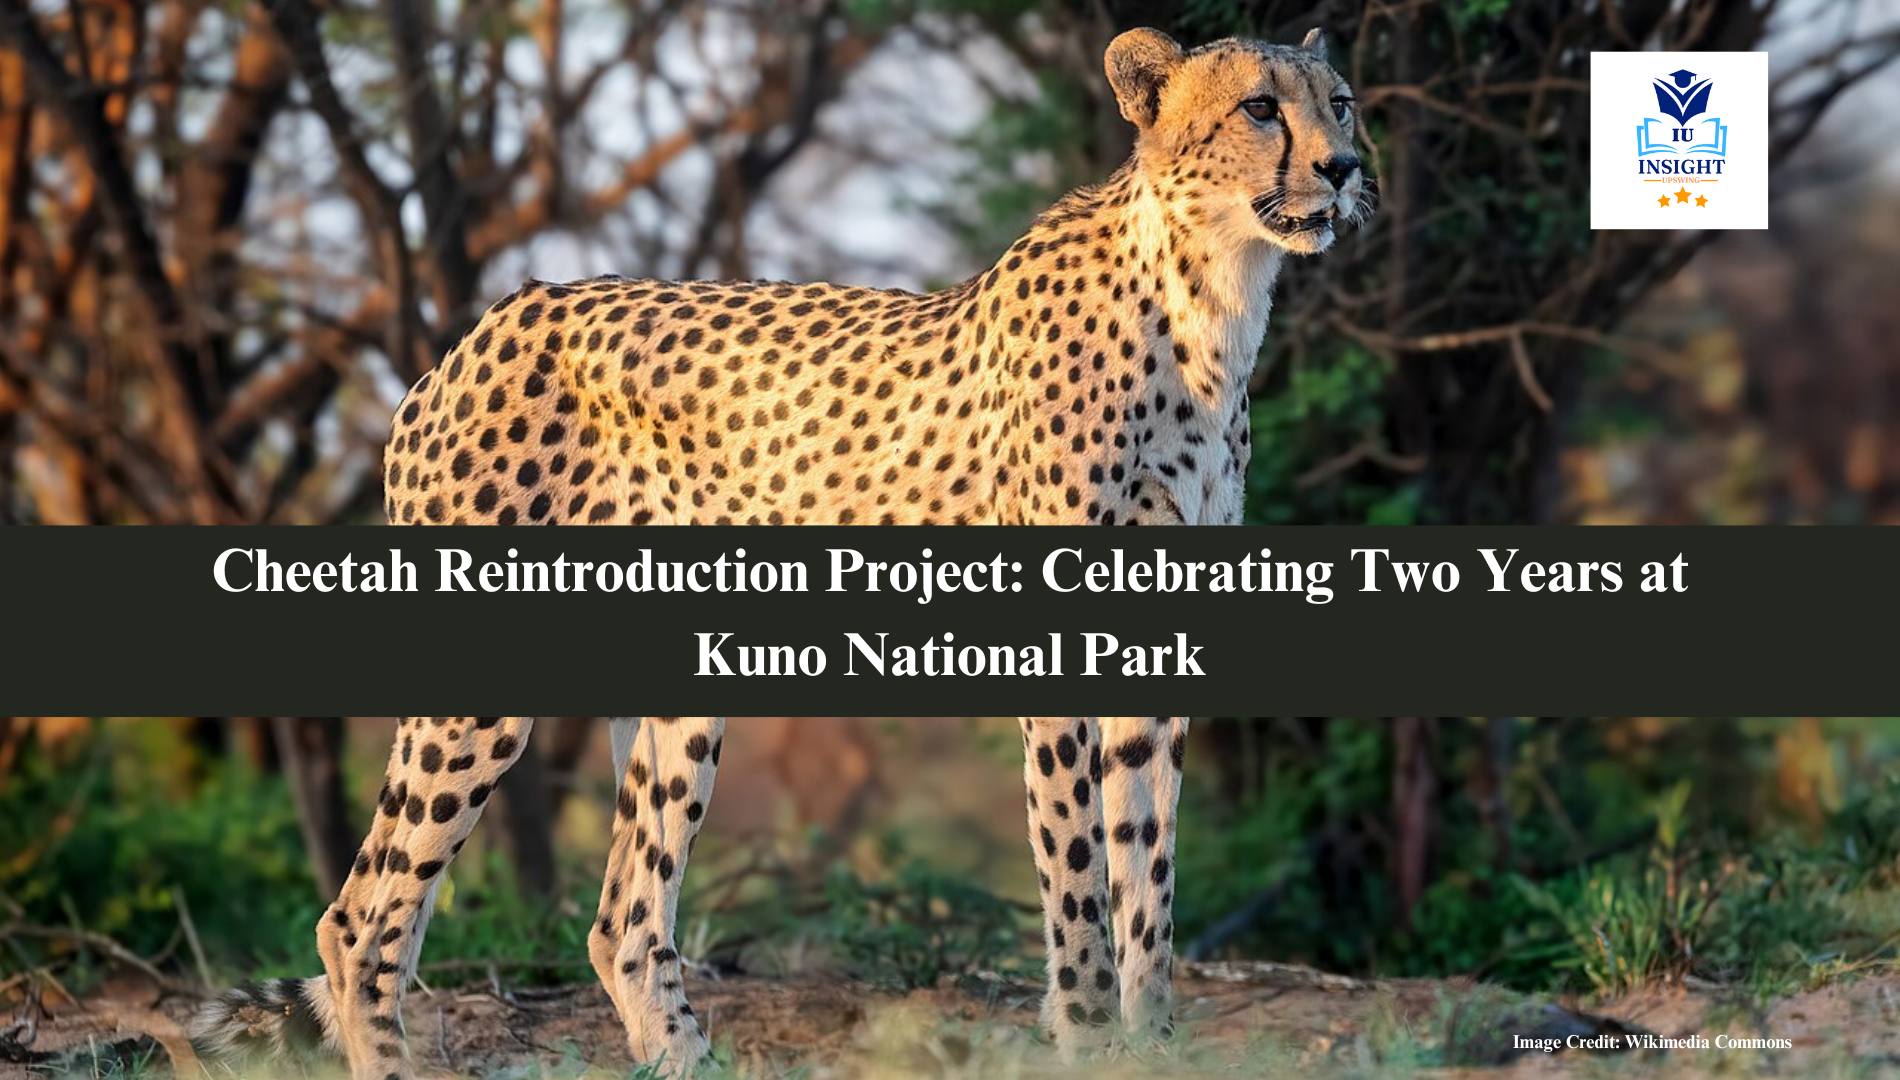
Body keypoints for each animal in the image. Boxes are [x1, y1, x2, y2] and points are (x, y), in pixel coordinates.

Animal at [191, 27, 1370, 1080]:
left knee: (622, 918)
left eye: (1342, 103)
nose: (1345, 167)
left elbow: (1147, 878)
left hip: (675, 696)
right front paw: (1087, 1043)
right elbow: (1080, 876)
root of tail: (478, 329)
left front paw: (1153, 1044)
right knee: (361, 920)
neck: (1212, 296)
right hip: (482, 680)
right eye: (1260, 108)